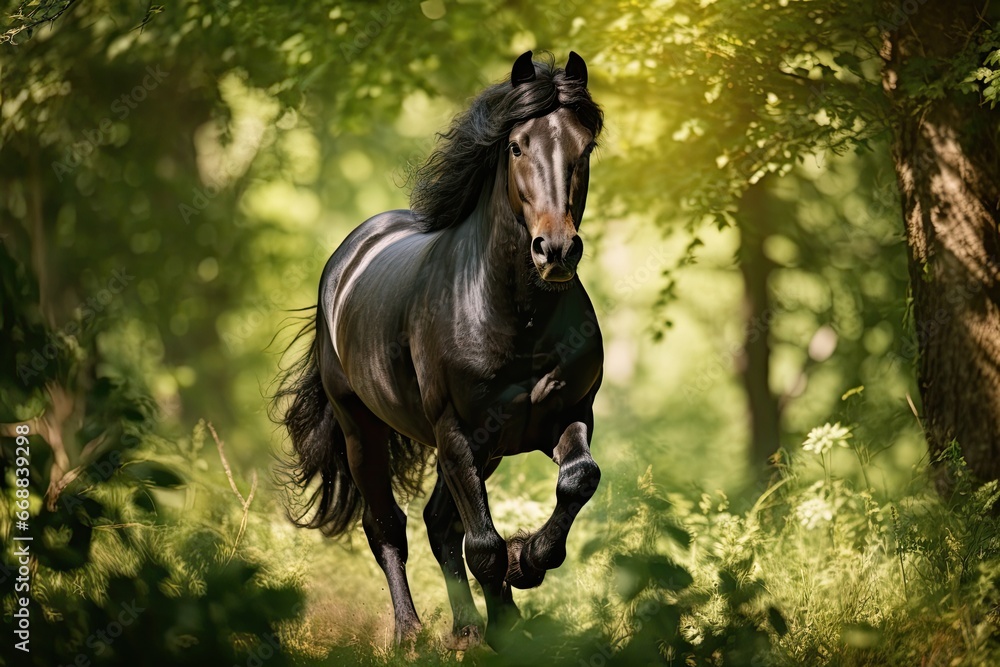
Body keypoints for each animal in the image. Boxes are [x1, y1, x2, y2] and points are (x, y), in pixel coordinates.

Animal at [274, 50, 604, 650]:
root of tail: (348, 257)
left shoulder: (566, 414)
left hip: (488, 449)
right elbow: (483, 543)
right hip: (362, 429)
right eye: (516, 146)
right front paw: (512, 585)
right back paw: (411, 634)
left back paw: (472, 626)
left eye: (584, 147)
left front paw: (527, 568)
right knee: (389, 526)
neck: (515, 315)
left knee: (438, 522)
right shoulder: (455, 432)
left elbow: (577, 481)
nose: (556, 250)